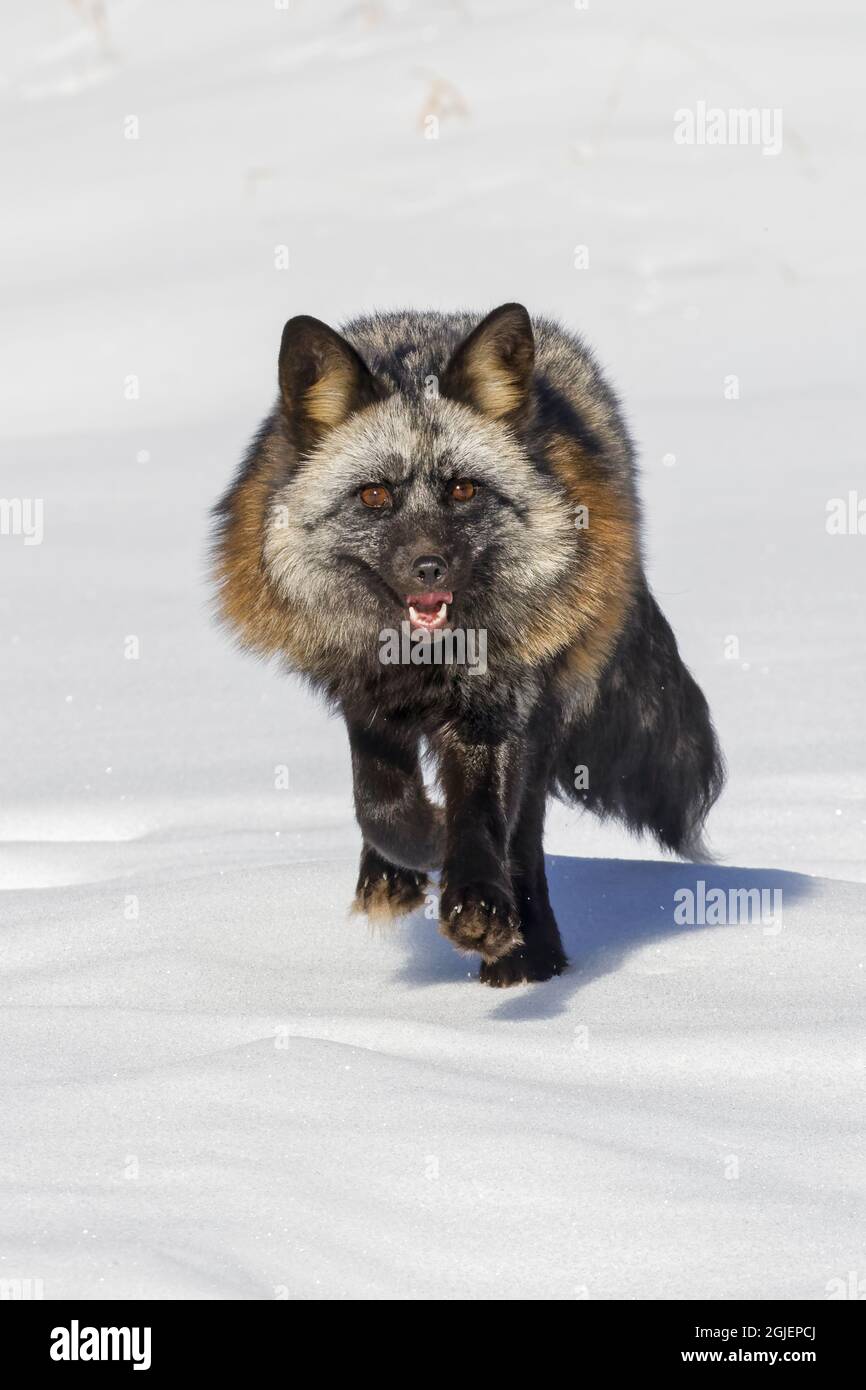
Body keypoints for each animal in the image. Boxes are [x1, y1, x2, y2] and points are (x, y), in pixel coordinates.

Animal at [211, 304, 724, 986]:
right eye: (374, 495)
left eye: (463, 490)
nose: (429, 567)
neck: (425, 666)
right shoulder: (362, 694)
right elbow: (379, 802)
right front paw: (417, 848)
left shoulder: (501, 700)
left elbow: (483, 819)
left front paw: (479, 904)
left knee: (524, 837)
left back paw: (531, 954)